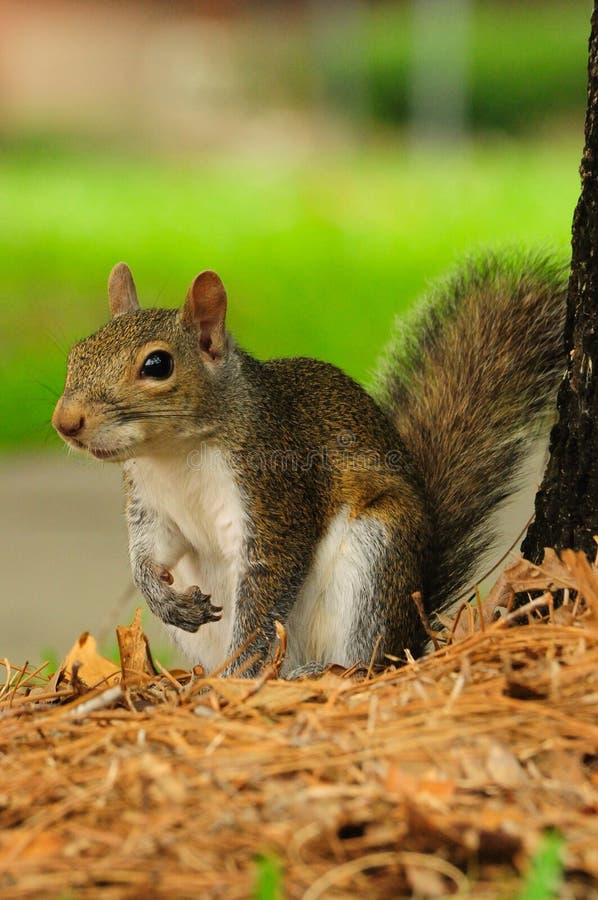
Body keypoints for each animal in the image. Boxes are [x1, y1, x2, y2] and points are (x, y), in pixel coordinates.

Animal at [52, 253, 567, 677]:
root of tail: (411, 635)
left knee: (365, 660)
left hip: (374, 558)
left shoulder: (274, 489)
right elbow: (152, 554)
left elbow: (265, 589)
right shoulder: (151, 503)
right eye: (76, 353)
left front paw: (236, 679)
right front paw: (163, 599)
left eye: (157, 365)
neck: (175, 455)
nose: (65, 422)